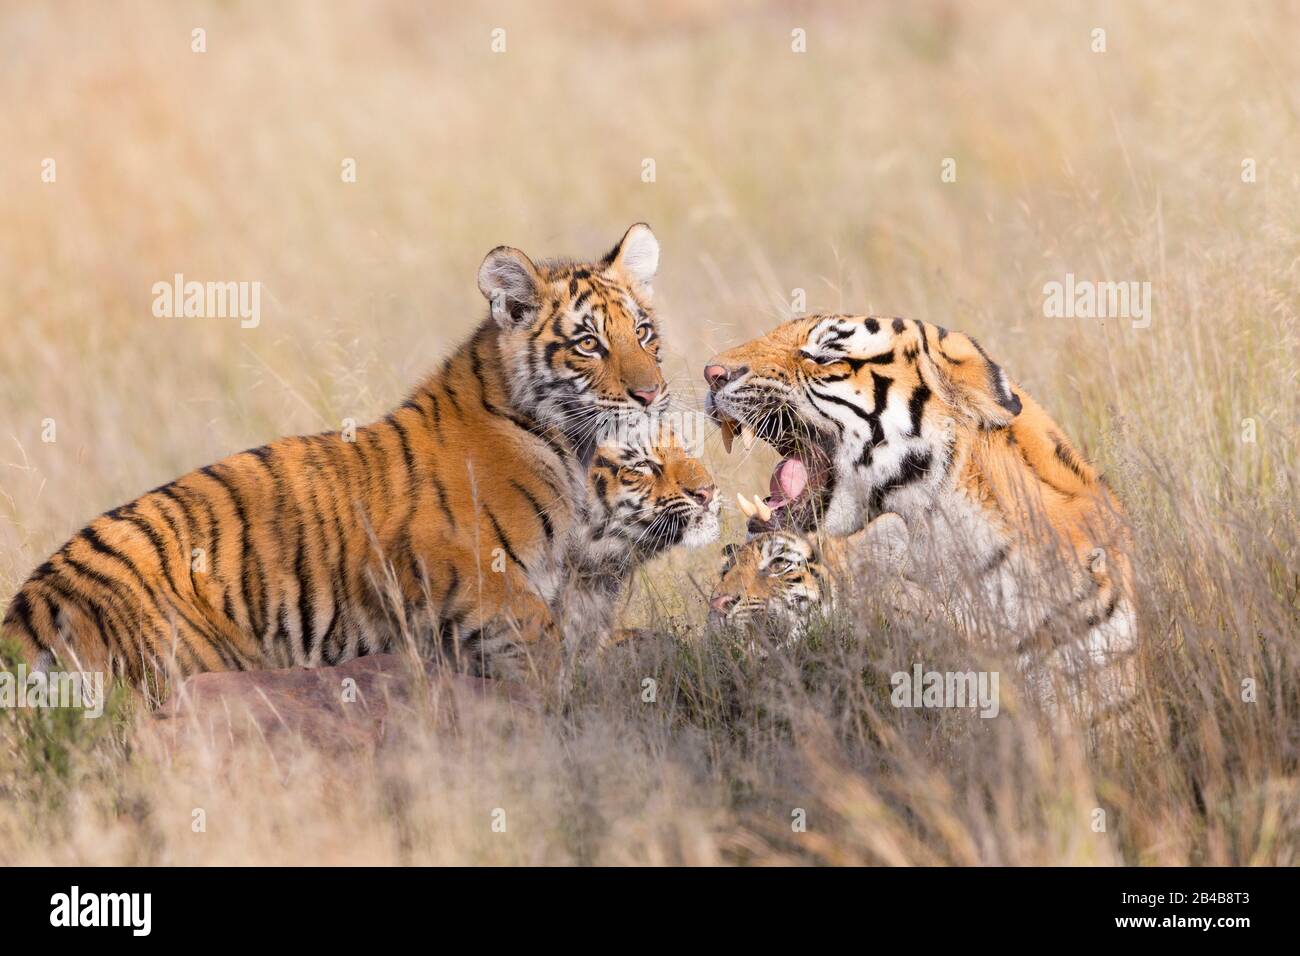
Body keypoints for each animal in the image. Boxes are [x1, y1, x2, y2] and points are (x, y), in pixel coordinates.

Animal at [1, 223, 669, 691]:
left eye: (644, 333)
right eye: (589, 344)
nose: (652, 394)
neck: (563, 443)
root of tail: (31, 608)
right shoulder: (450, 563)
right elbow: (539, 633)